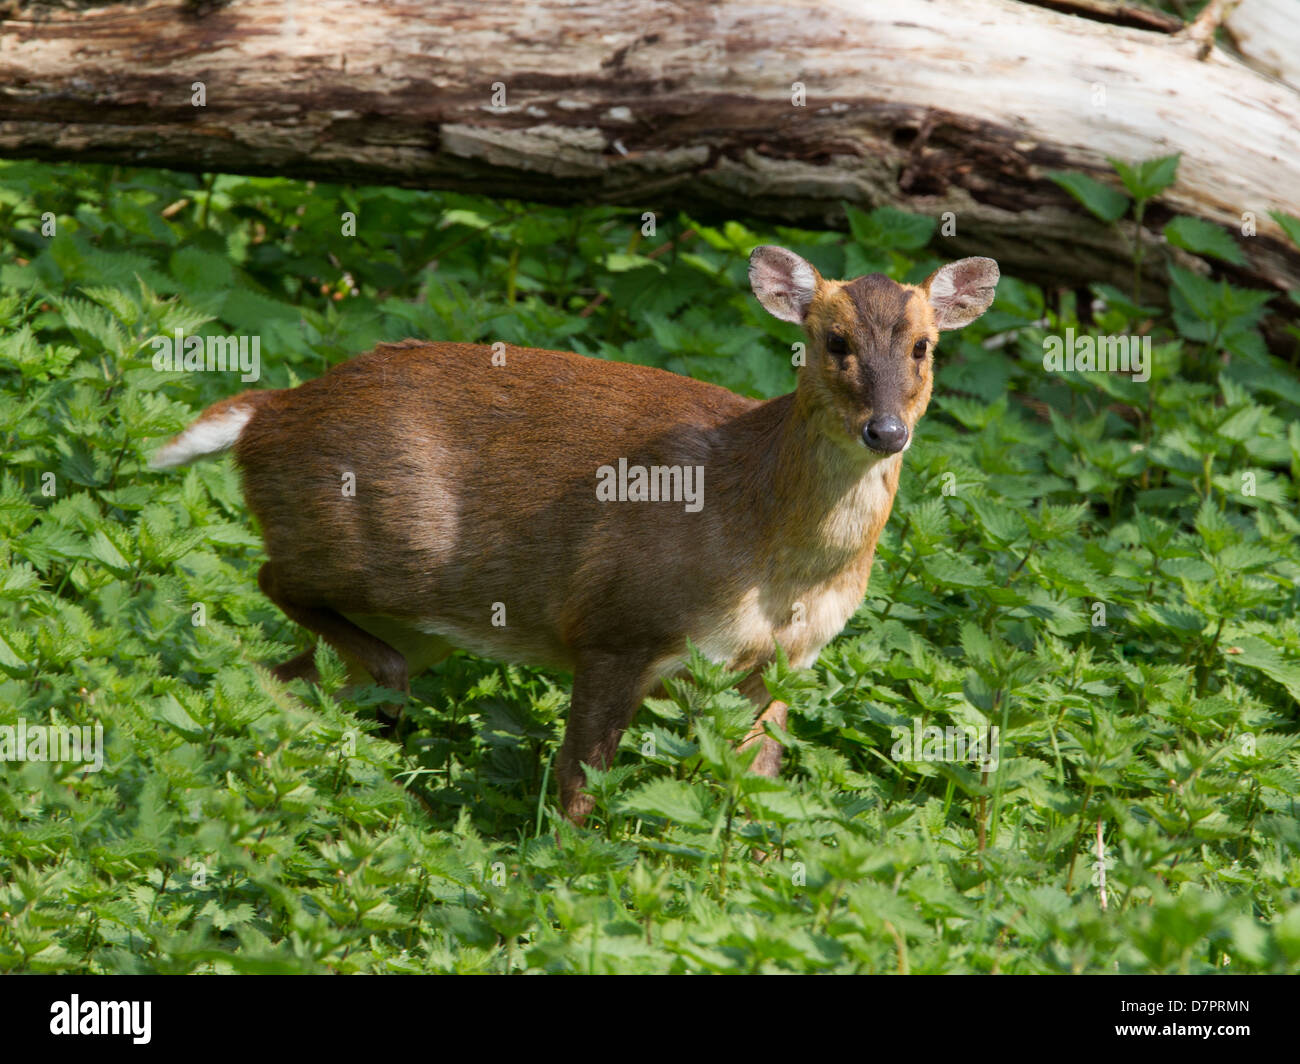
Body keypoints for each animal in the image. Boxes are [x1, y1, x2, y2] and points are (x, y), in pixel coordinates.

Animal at [149, 246, 999, 824]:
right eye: (833, 341)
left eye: (923, 346)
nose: (885, 429)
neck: (770, 549)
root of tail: (269, 412)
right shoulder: (614, 624)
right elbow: (578, 788)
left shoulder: (782, 666)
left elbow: (757, 790)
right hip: (384, 545)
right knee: (273, 585)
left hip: (412, 617)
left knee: (283, 672)